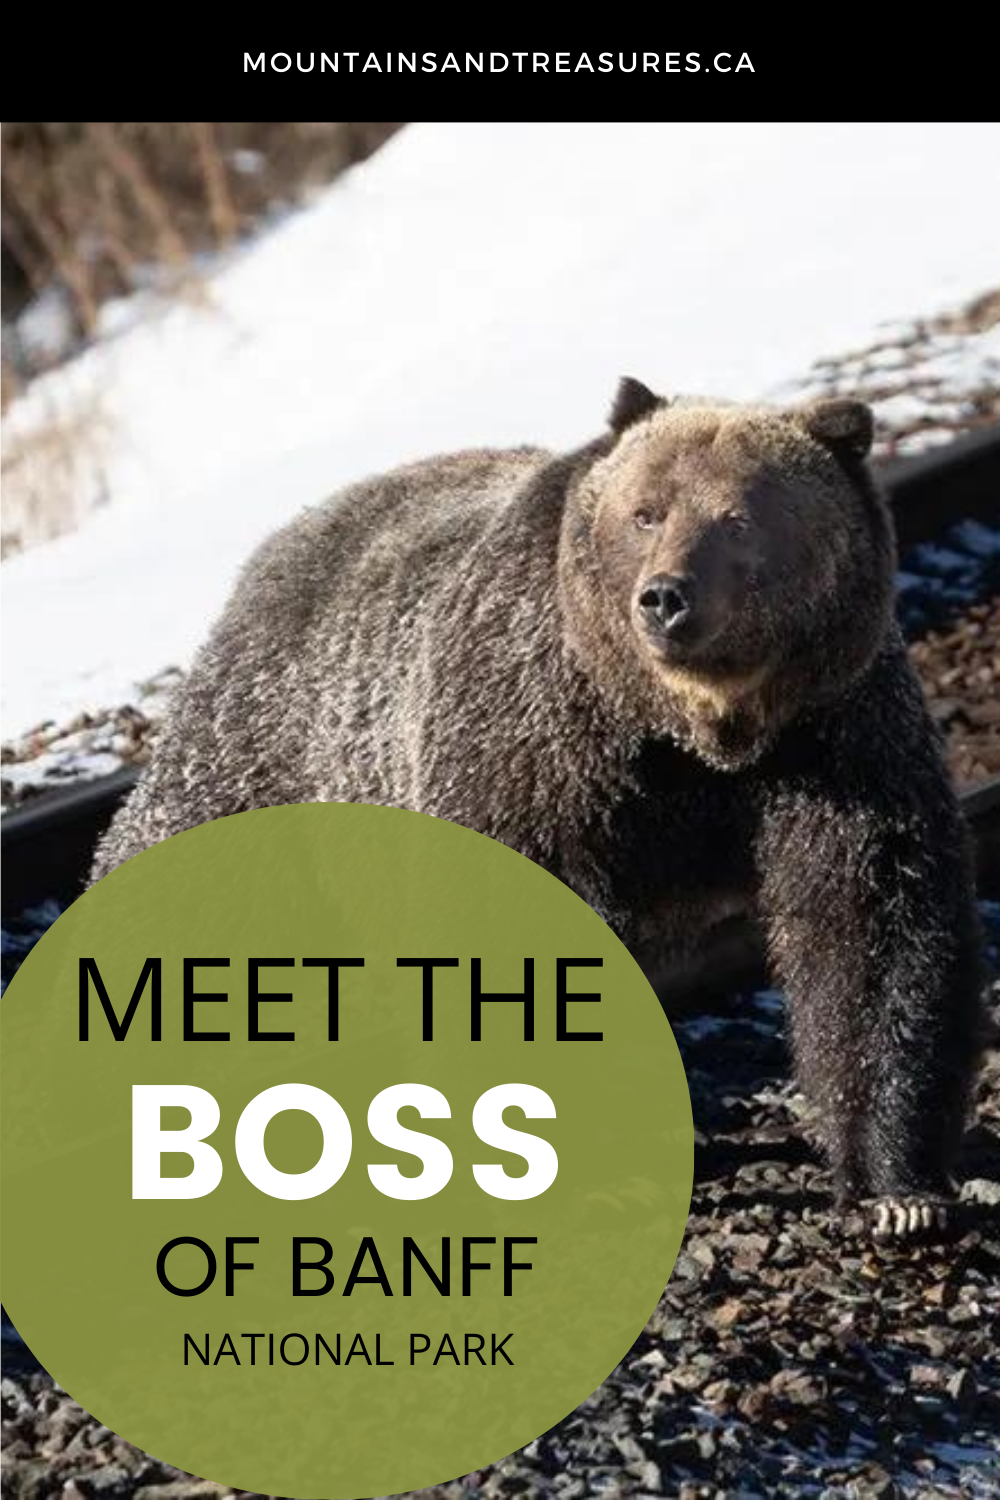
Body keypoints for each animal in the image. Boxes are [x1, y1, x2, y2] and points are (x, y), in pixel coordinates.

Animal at [92, 379, 984, 1242]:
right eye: (645, 511)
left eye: (740, 518)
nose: (667, 599)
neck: (690, 730)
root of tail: (281, 543)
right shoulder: (530, 738)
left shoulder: (836, 730)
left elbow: (870, 924)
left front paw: (896, 1191)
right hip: (273, 765)